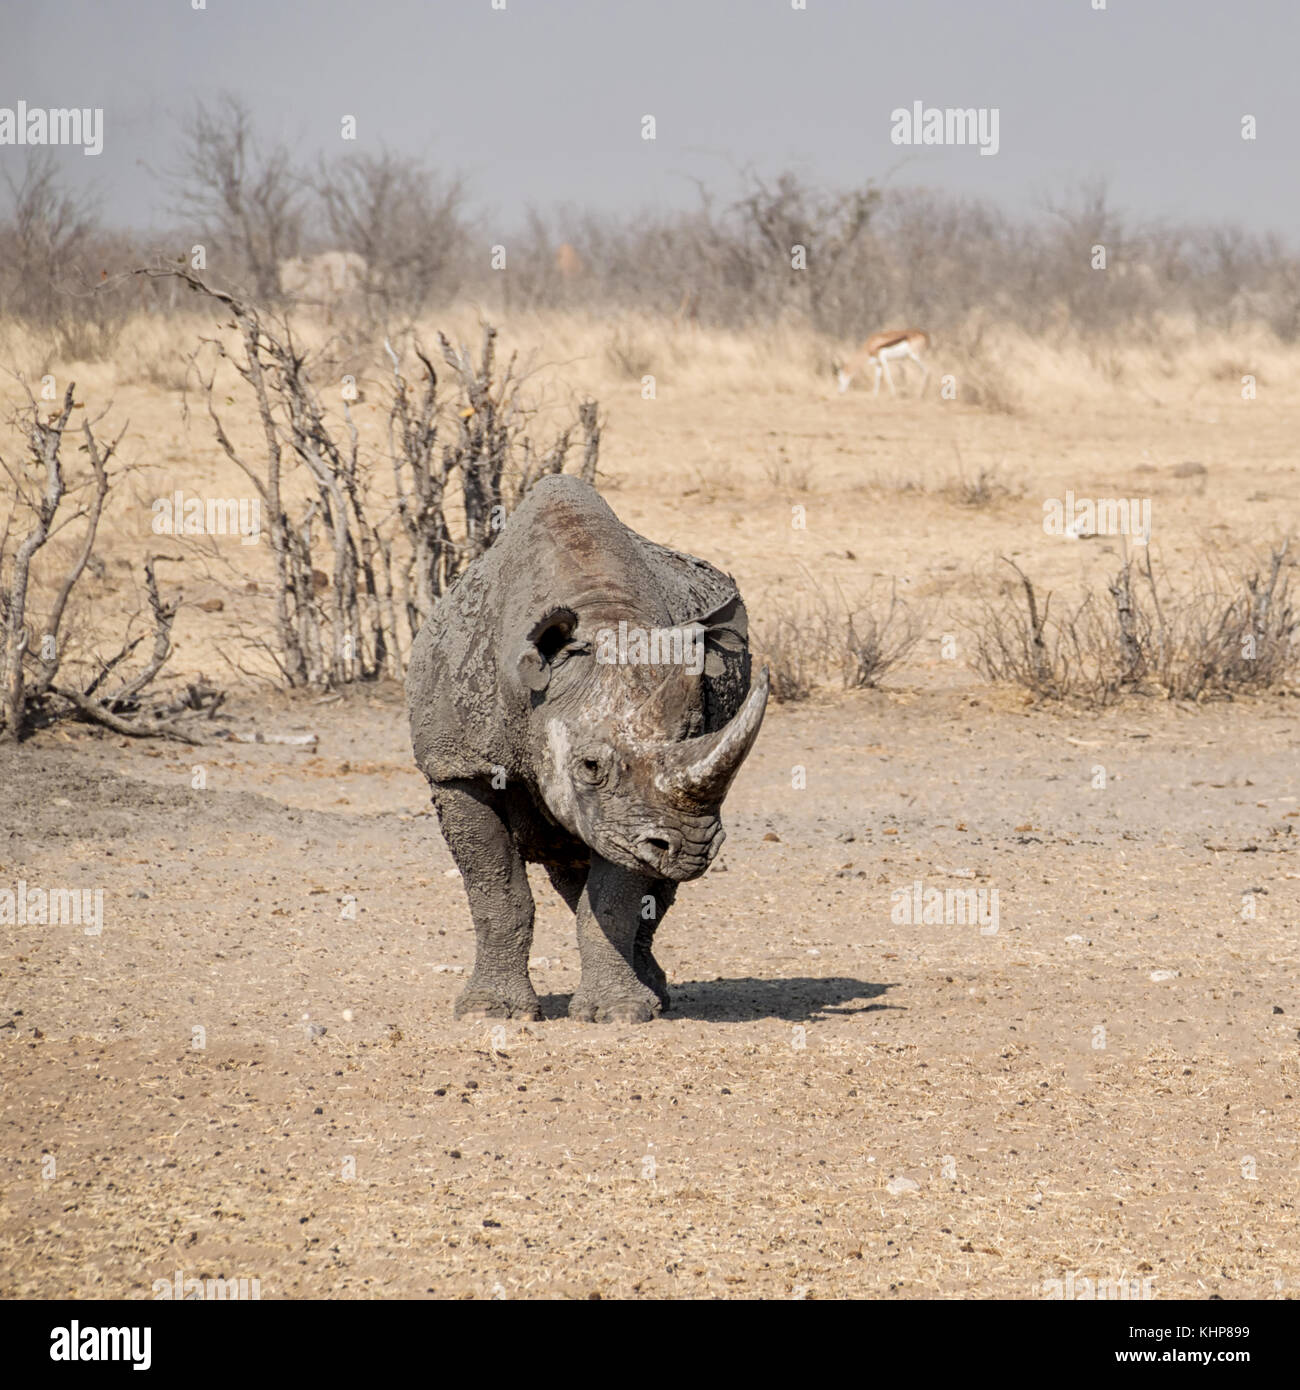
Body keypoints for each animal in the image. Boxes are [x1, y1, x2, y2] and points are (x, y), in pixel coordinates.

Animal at [407, 475, 768, 1023]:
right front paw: (490, 1011)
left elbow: (614, 899)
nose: (694, 847)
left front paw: (619, 1013)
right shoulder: (457, 767)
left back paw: (655, 995)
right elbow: (497, 892)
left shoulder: (632, 816)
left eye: (695, 732)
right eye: (591, 765)